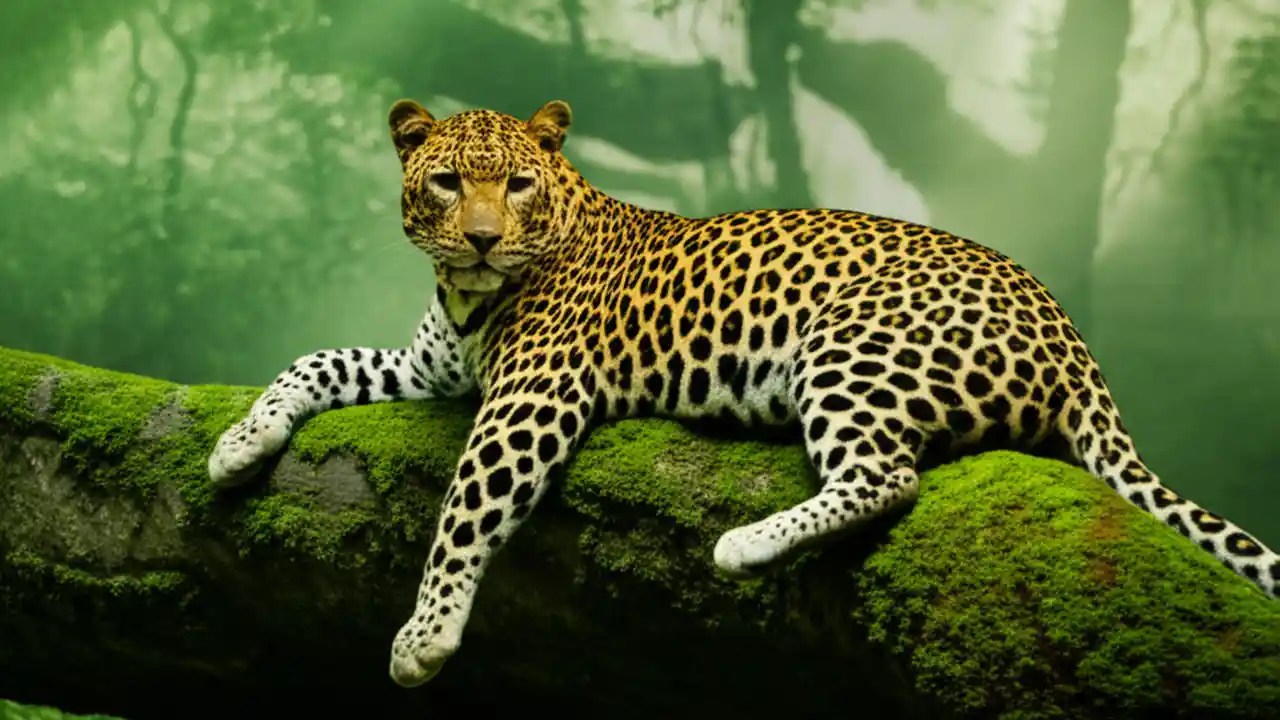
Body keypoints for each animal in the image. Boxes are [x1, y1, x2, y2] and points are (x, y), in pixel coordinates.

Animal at [207, 97, 1280, 689]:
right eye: (444, 184)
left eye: (515, 185)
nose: (478, 238)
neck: (466, 293)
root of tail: (1074, 335)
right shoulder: (432, 371)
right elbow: (315, 360)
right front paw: (237, 445)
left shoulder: (527, 403)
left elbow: (463, 516)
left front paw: (424, 638)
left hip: (851, 347)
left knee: (887, 477)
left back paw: (745, 544)